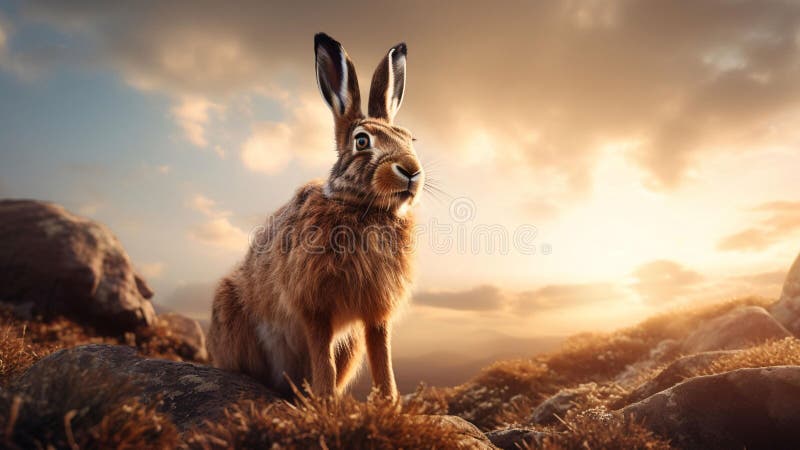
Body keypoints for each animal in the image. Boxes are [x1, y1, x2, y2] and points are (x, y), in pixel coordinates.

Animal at [207, 33, 423, 400]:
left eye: (410, 139)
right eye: (361, 141)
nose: (411, 171)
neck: (363, 208)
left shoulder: (376, 311)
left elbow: (382, 354)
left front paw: (389, 403)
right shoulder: (315, 303)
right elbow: (322, 354)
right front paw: (326, 401)